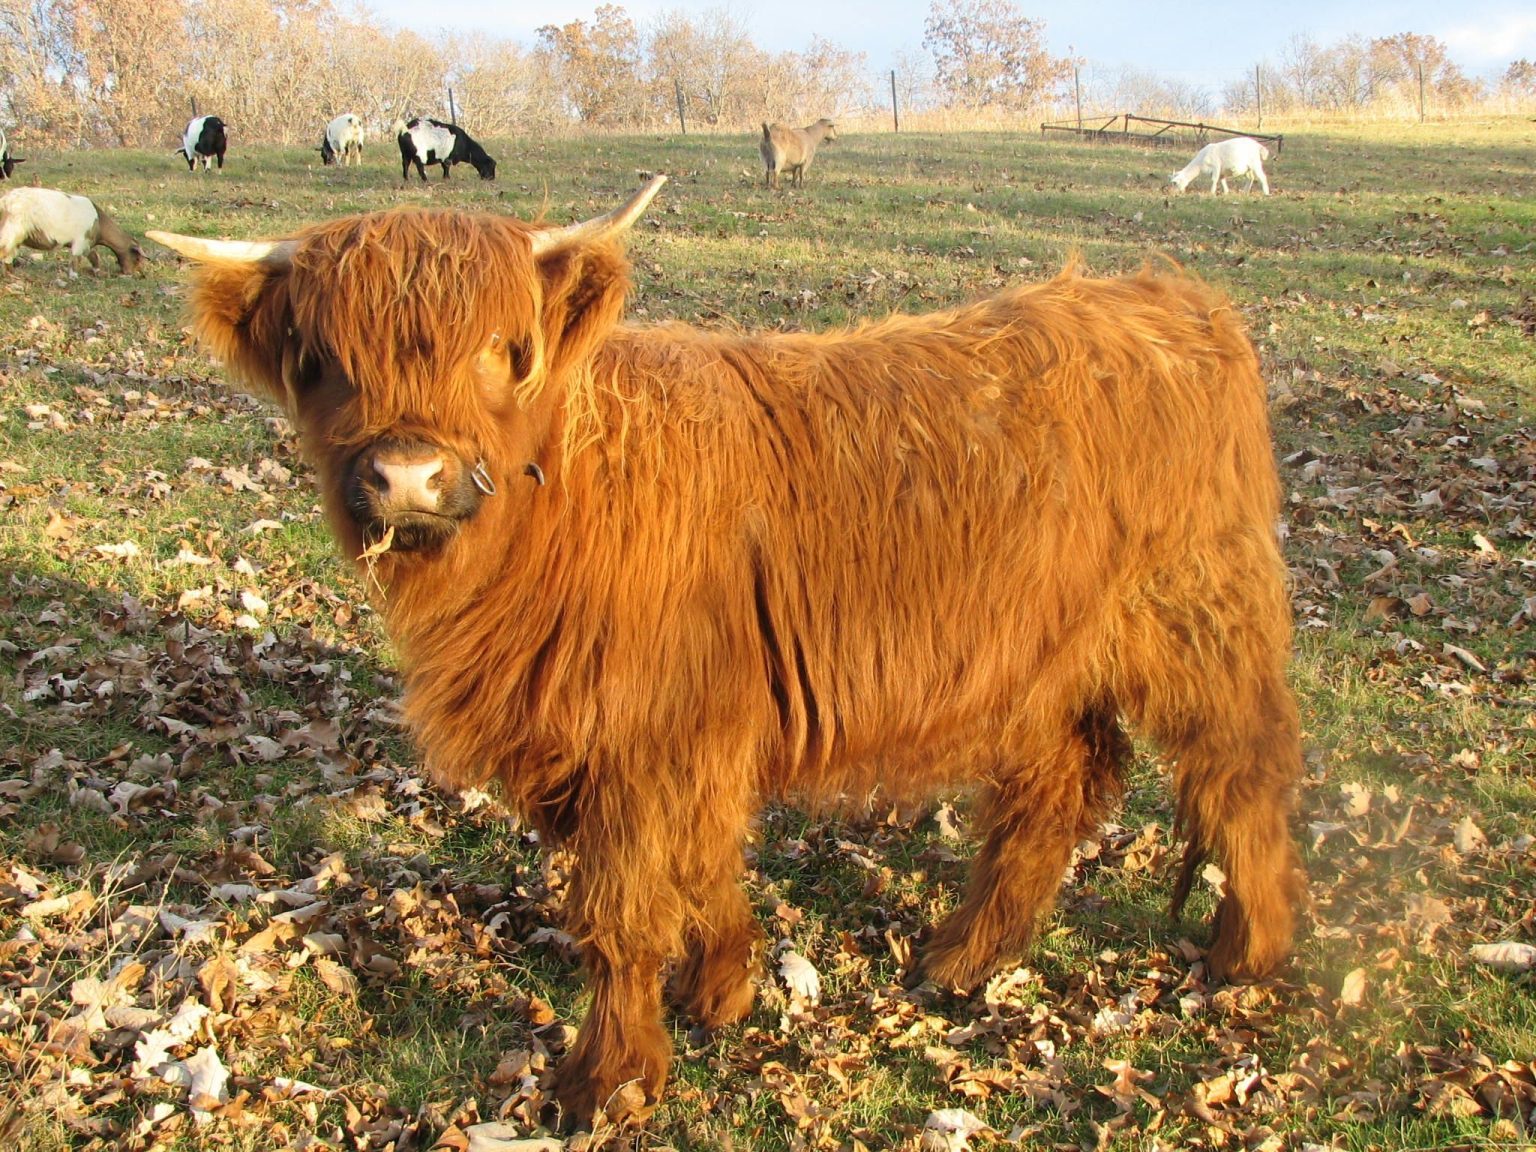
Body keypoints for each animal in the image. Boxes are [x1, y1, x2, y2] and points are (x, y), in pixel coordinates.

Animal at [148, 176, 1304, 1130]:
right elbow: (702, 866)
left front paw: (607, 1080)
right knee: (1056, 791)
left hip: (1198, 620)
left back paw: (1247, 953)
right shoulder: (675, 740)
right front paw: (723, 990)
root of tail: (1177, 298)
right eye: (321, 364)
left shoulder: (644, 740)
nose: (406, 476)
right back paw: (963, 958)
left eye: (503, 349)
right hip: (1038, 661)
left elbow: (619, 917)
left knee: (1239, 770)